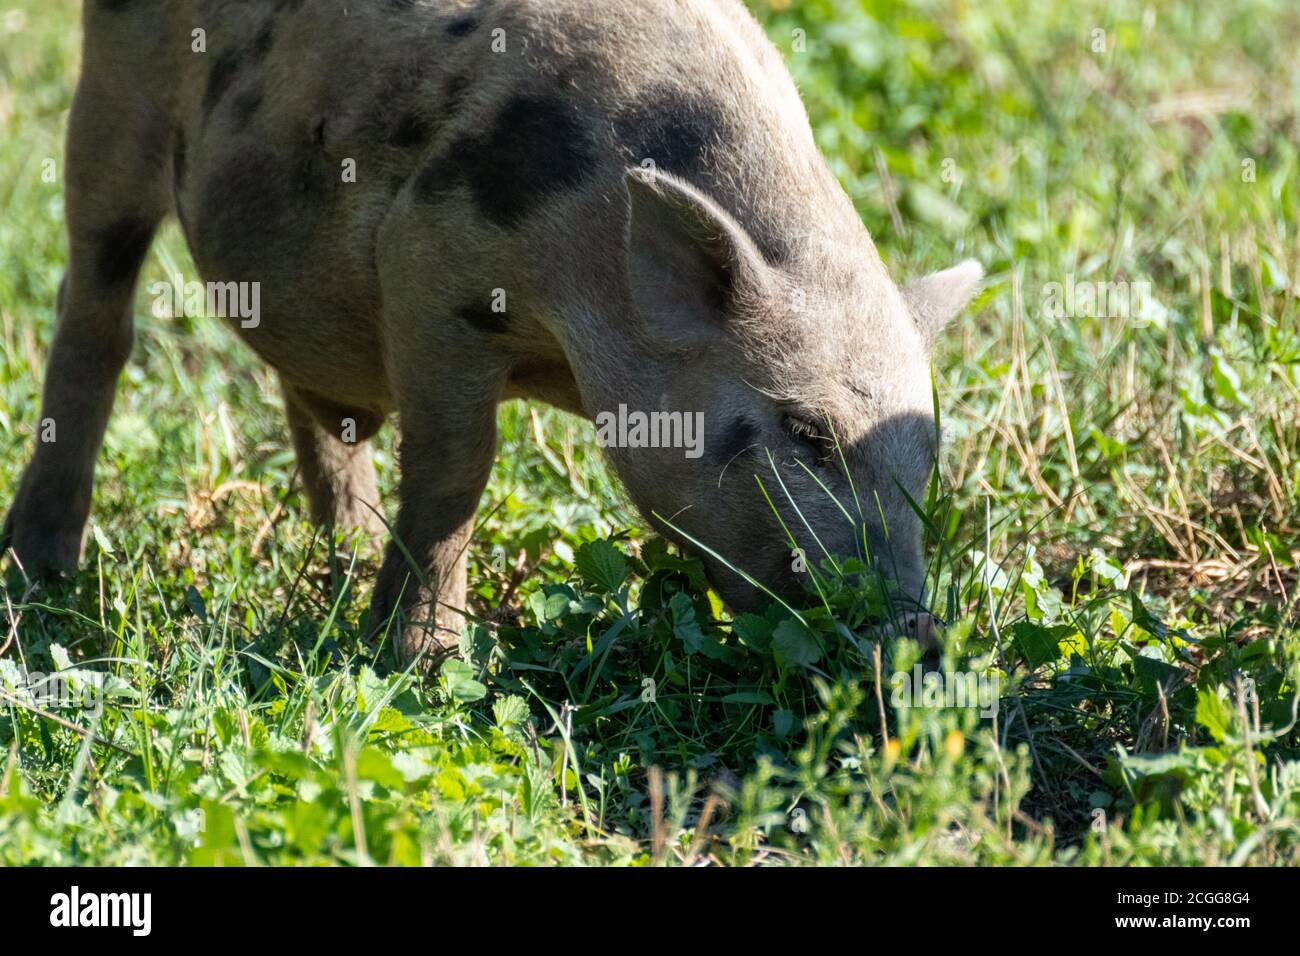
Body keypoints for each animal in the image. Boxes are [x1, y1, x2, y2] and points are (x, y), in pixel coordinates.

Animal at [2, 0, 981, 666]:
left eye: (926, 457)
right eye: (806, 431)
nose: (914, 633)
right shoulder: (429, 266)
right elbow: (456, 473)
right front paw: (423, 661)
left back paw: (347, 556)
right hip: (114, 90)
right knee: (95, 307)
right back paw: (40, 572)